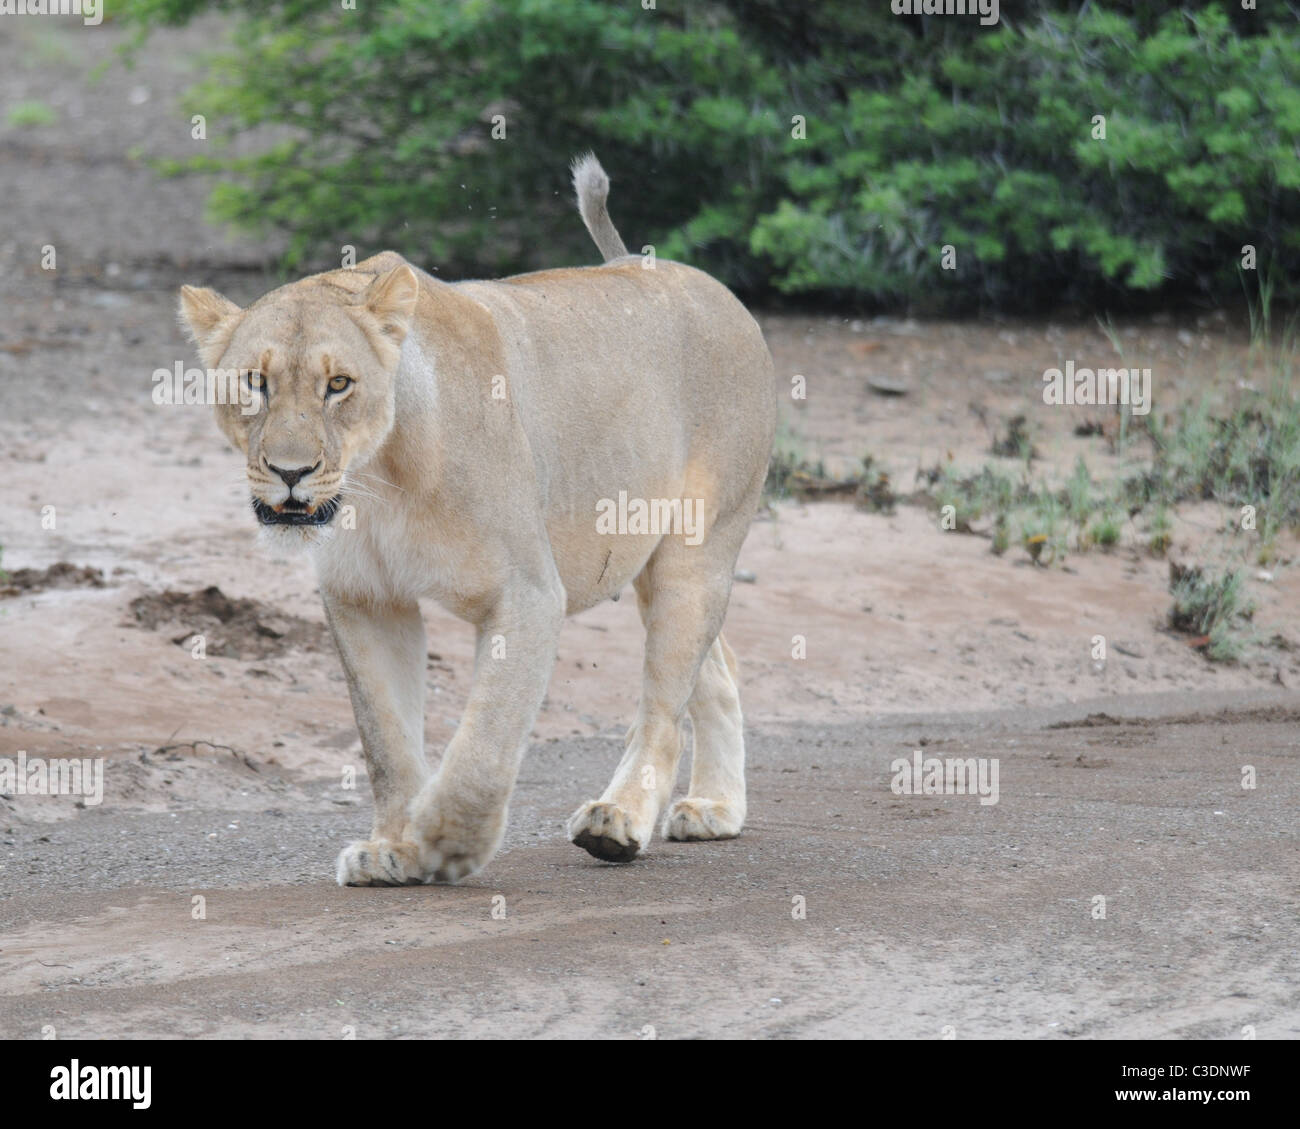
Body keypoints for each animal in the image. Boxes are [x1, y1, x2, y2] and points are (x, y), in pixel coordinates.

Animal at [178, 154, 777, 884]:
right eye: (254, 384)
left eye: (338, 384)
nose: (291, 471)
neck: (379, 482)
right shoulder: (364, 598)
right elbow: (385, 738)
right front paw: (393, 848)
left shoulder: (527, 593)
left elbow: (486, 738)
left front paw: (448, 836)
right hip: (652, 563)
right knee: (719, 668)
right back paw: (717, 805)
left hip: (699, 549)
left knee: (662, 705)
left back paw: (617, 820)